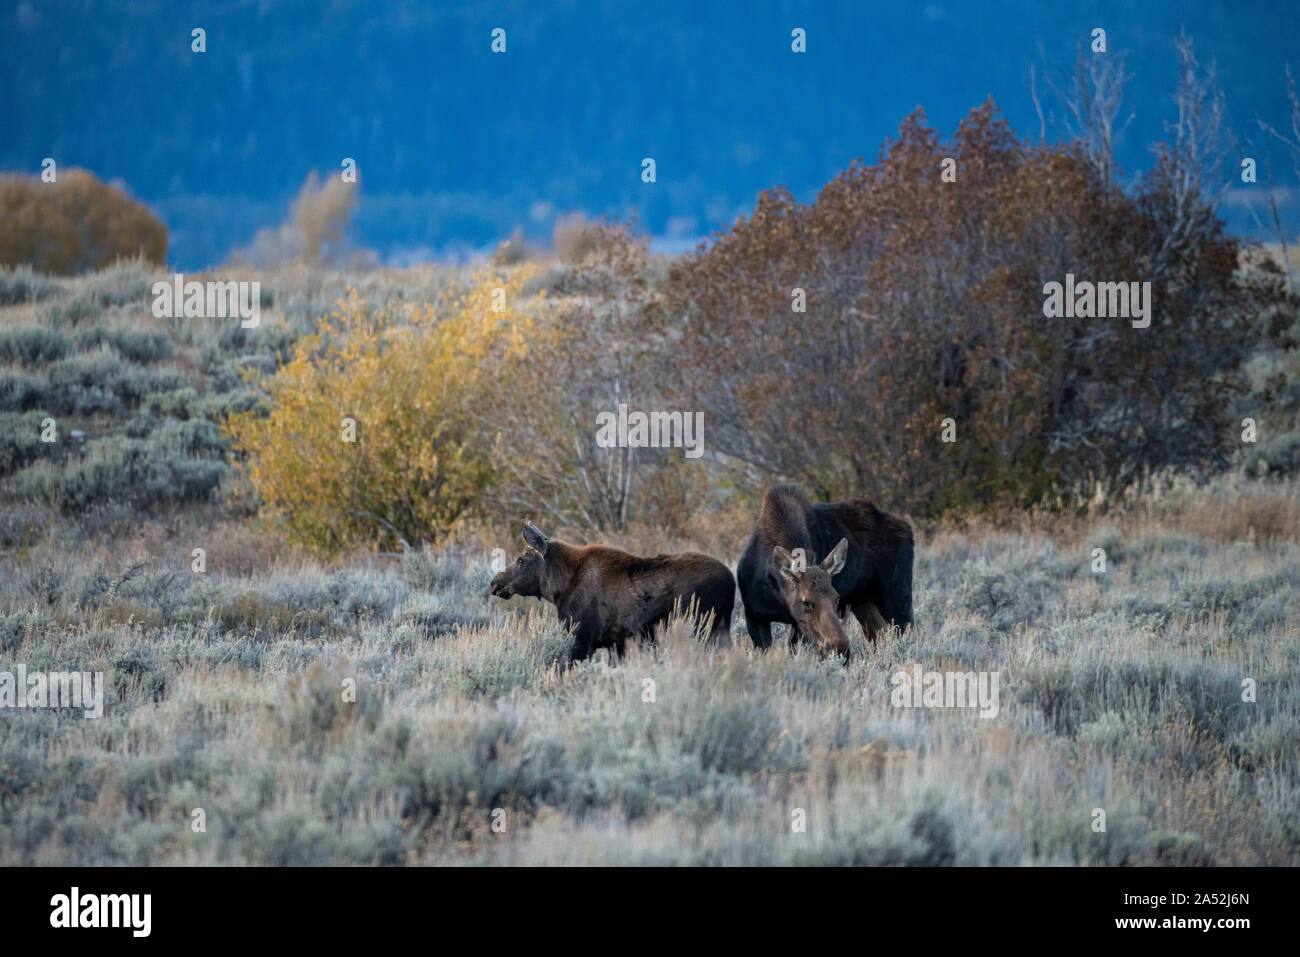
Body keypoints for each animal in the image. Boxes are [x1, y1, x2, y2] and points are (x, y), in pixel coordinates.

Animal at [489, 520, 736, 661]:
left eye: (522, 559)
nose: (495, 582)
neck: (558, 588)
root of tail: (731, 580)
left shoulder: (582, 639)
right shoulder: (617, 644)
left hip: (702, 625)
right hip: (720, 627)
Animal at [737, 484, 913, 660]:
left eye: (837, 598)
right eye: (806, 602)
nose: (840, 644)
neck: (777, 594)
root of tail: (908, 529)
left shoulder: (799, 626)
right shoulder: (754, 616)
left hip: (898, 599)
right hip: (865, 603)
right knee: (879, 636)